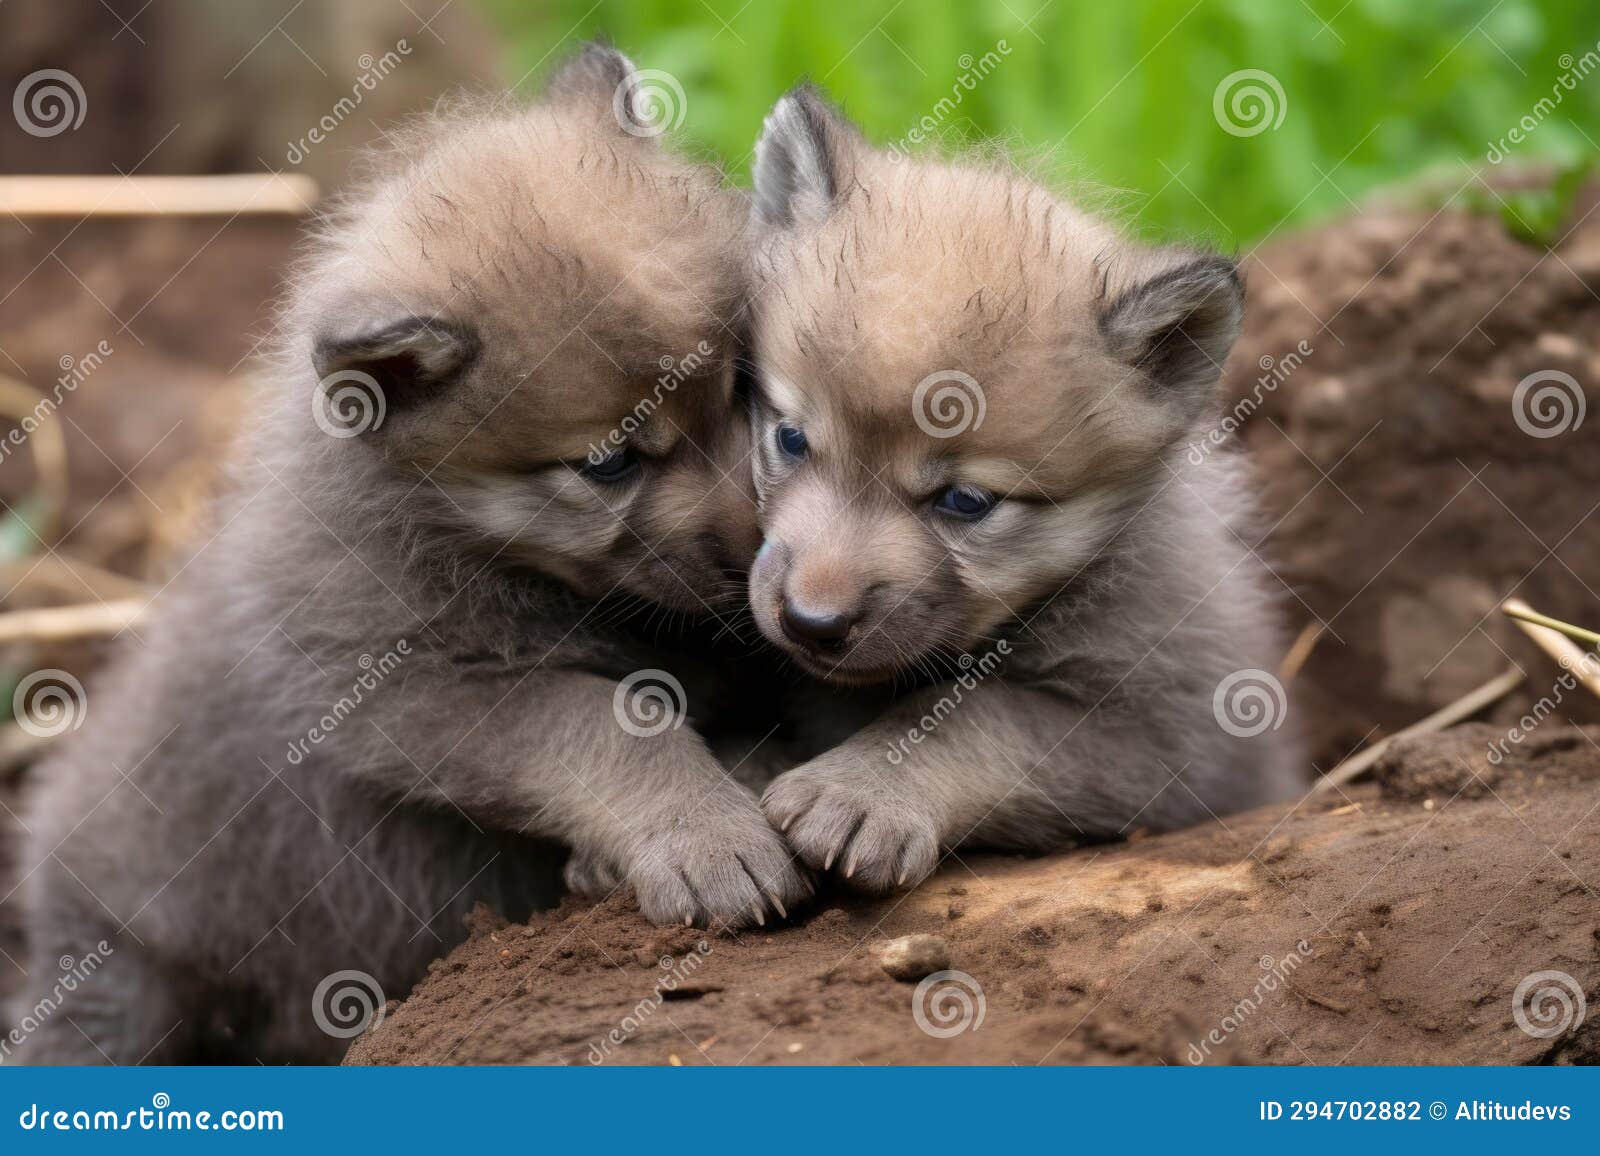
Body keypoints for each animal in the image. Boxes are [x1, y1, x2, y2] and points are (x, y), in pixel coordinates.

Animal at [742, 87, 1305, 892]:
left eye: (965, 502)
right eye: (790, 439)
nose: (812, 622)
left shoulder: (1172, 738)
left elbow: (979, 715)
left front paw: (858, 794)